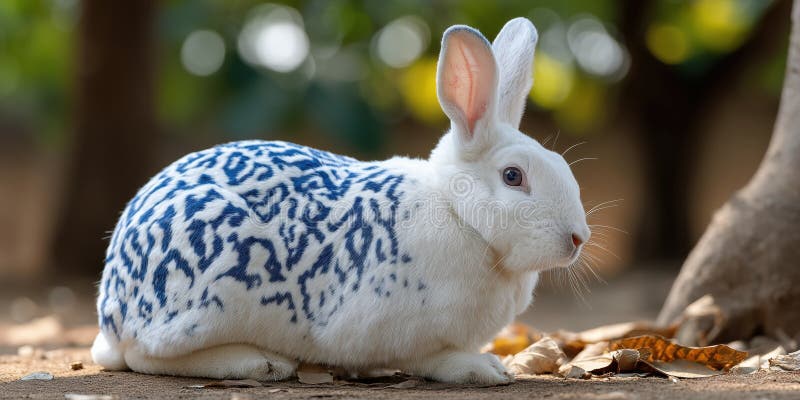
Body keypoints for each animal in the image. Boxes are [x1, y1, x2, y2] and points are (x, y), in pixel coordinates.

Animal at [91, 17, 590, 385]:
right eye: (513, 177)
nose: (578, 238)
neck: (458, 213)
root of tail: (112, 308)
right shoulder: (398, 332)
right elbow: (432, 359)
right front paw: (483, 369)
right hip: (208, 300)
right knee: (145, 356)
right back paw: (260, 363)